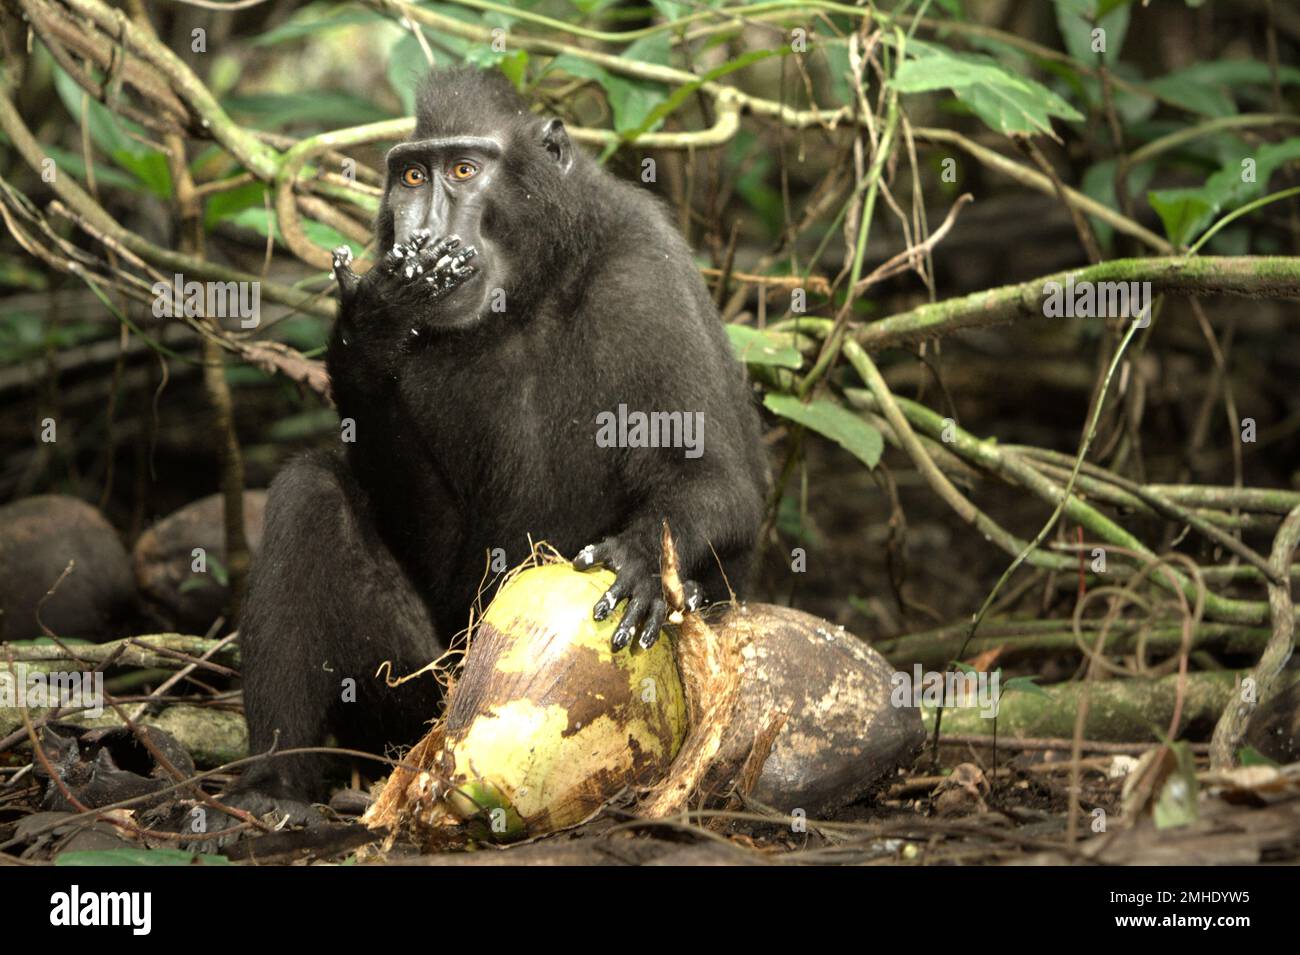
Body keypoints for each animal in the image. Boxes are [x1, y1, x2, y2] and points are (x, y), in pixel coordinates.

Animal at [232, 67, 768, 815]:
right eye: (411, 176)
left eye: (463, 170)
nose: (424, 229)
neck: (529, 299)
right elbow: (435, 537)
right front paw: (368, 326)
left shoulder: (644, 273)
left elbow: (715, 480)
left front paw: (639, 557)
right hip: (421, 693)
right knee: (308, 493)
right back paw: (271, 786)